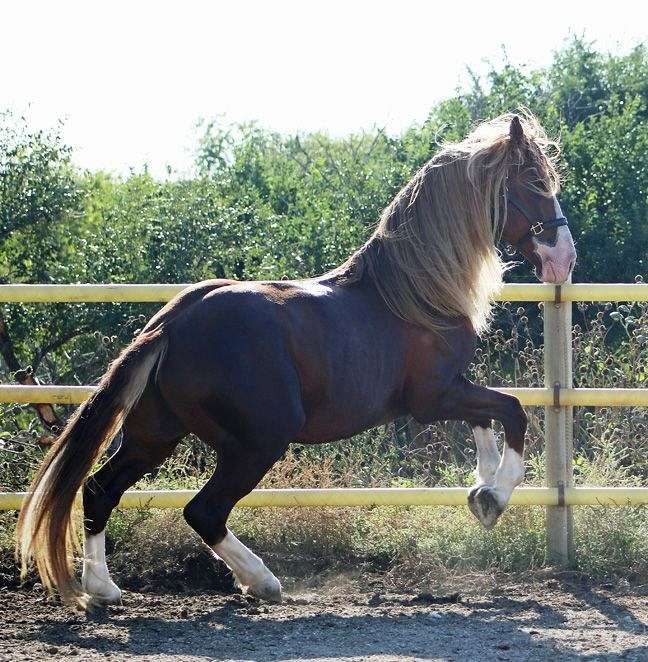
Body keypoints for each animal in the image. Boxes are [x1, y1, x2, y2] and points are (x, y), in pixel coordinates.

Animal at [17, 112, 576, 609]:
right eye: (534, 182)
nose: (563, 258)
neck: (414, 292)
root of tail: (174, 323)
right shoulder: (432, 397)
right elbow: (511, 411)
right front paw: (494, 497)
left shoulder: (449, 391)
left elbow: (486, 419)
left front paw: (481, 489)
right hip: (258, 440)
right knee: (203, 511)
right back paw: (261, 582)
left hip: (155, 434)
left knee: (98, 490)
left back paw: (103, 589)